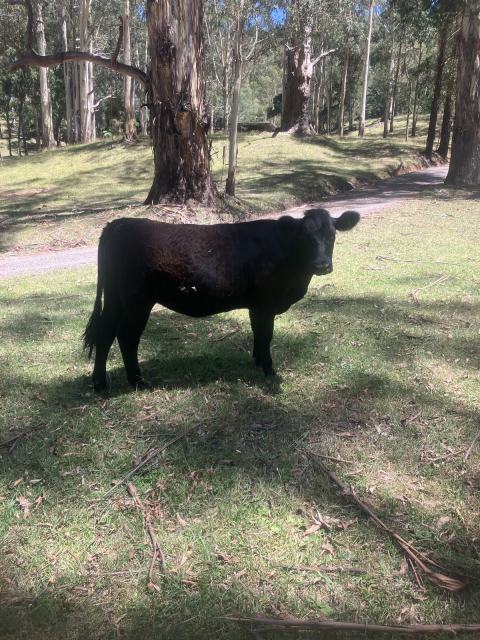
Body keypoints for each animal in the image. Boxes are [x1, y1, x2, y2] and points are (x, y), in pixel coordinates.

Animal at [83, 208, 359, 391]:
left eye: (332, 235)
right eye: (305, 237)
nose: (322, 265)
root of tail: (119, 224)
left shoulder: (255, 306)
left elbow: (258, 333)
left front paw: (257, 361)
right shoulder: (265, 304)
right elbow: (266, 335)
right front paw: (269, 370)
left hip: (116, 298)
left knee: (105, 332)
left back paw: (100, 383)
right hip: (137, 301)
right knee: (126, 337)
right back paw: (138, 382)